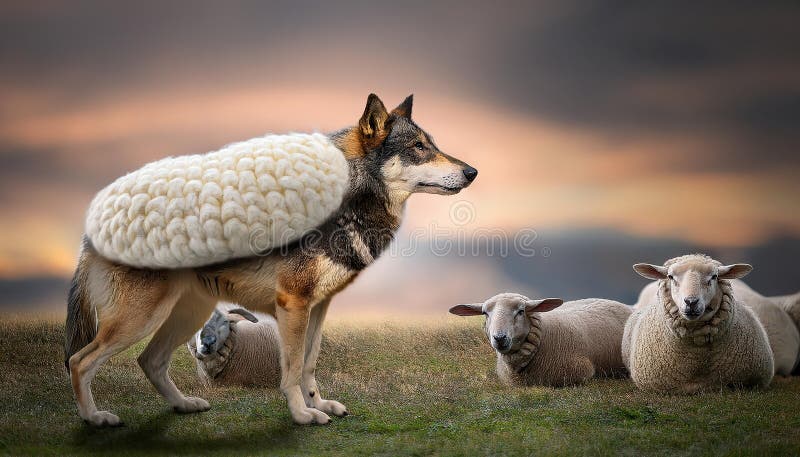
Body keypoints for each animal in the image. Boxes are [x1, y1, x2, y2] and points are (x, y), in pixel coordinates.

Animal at [64, 94, 478, 427]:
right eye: (418, 147)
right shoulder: (292, 304)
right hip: (141, 319)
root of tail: (94, 221)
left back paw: (184, 405)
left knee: (149, 361)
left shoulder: (318, 306)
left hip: (187, 314)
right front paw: (302, 415)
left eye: (432, 144)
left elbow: (309, 363)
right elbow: (291, 369)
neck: (346, 199)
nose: (473, 172)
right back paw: (94, 419)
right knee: (79, 361)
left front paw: (319, 404)